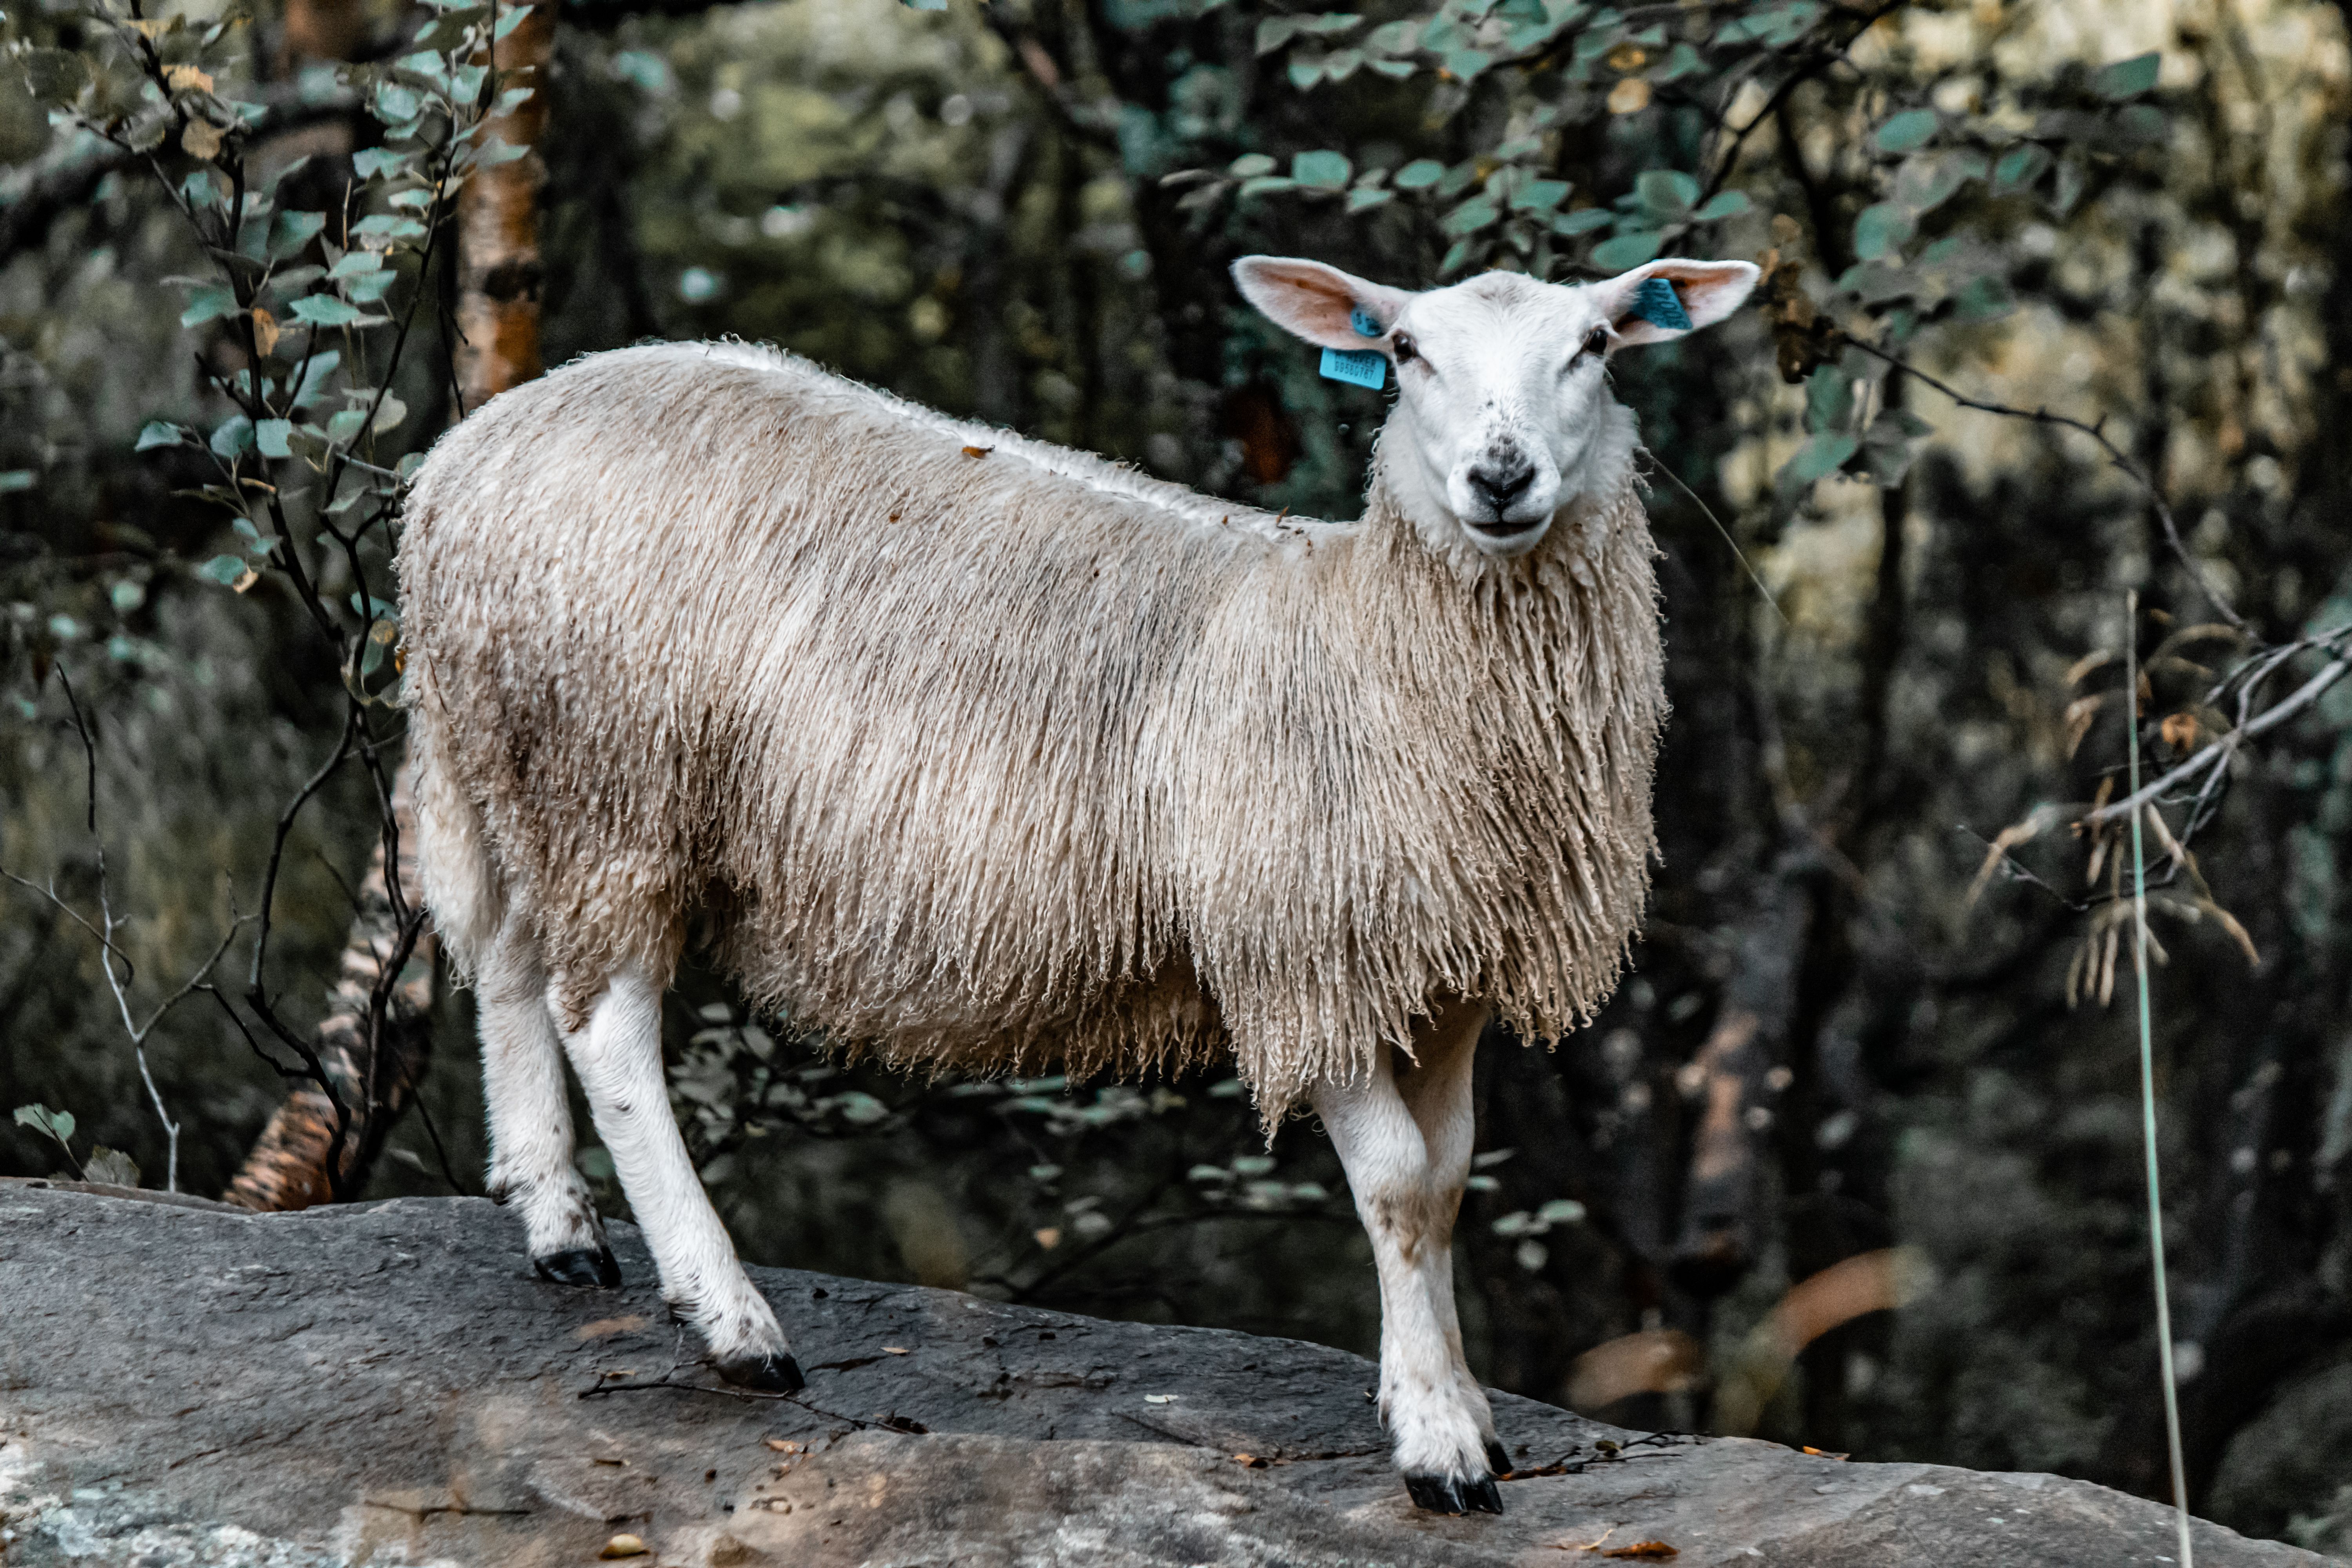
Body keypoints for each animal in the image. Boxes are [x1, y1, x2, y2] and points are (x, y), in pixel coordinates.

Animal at [394, 252, 1759, 1515]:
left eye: (1594, 344)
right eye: (1406, 350)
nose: (1500, 478)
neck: (1365, 636)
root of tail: (468, 455)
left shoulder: (1447, 976)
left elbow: (1445, 1181)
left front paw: (1458, 1404)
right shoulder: (1298, 954)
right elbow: (1394, 1190)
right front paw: (1437, 1442)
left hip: (518, 755)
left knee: (507, 963)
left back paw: (557, 1225)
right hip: (613, 773)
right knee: (603, 1024)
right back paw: (731, 1318)